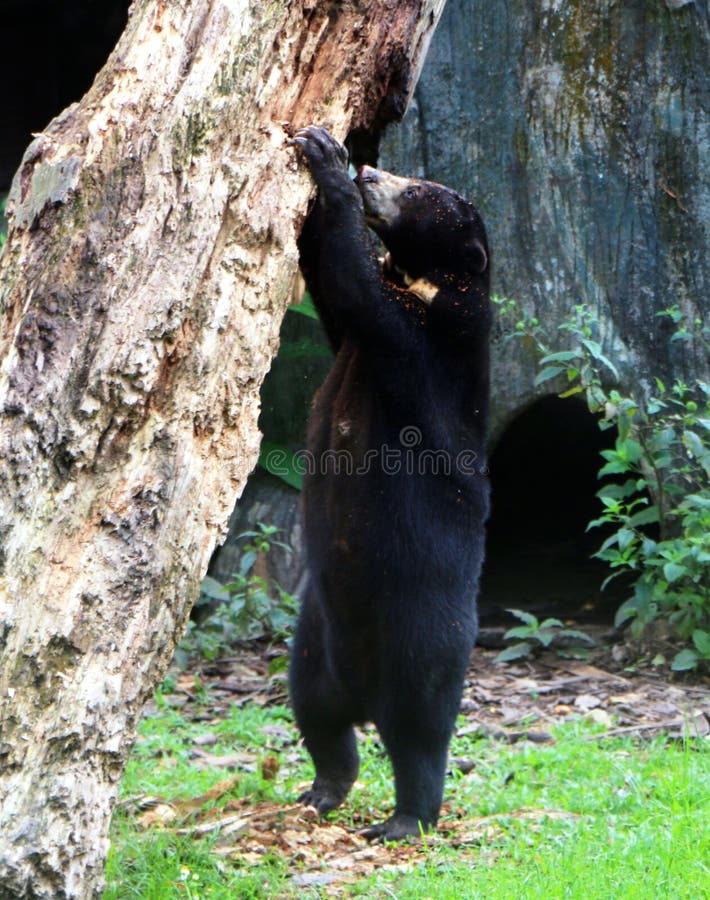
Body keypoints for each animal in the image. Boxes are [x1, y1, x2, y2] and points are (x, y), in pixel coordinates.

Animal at [288, 126, 491, 841]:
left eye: (418, 193)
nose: (372, 170)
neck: (429, 282)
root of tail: (363, 694)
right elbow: (331, 297)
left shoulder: (427, 342)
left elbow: (358, 291)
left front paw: (328, 160)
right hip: (313, 639)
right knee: (318, 716)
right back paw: (322, 788)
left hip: (422, 627)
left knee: (420, 733)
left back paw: (406, 818)